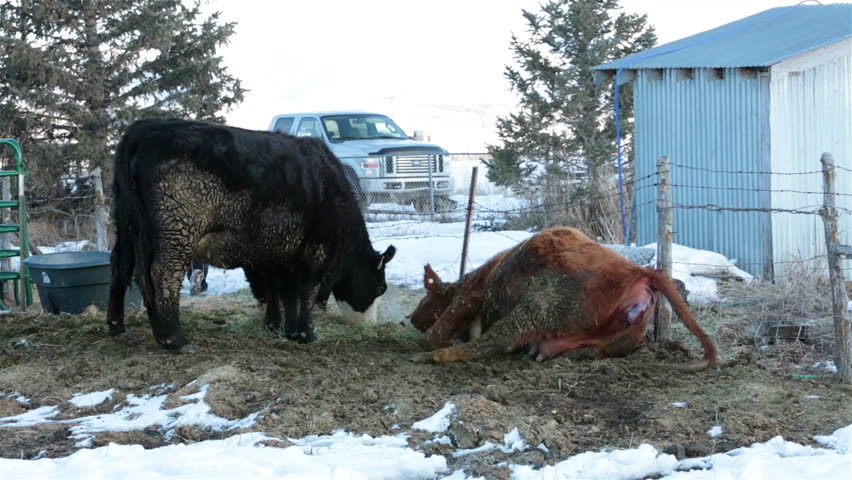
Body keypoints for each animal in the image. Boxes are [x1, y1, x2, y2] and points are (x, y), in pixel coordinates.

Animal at [107, 118, 396, 350]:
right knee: (162, 274)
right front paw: (306, 333)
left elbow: (280, 292)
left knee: (121, 266)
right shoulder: (314, 253)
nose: (369, 325)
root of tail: (145, 127)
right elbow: (304, 292)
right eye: (381, 287)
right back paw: (173, 338)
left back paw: (117, 325)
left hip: (127, 226)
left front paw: (281, 327)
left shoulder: (276, 253)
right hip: (176, 230)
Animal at [409, 227, 717, 371]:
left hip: (537, 309)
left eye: (426, 298)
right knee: (586, 353)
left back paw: (424, 357)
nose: (410, 319)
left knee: (493, 342)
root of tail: (639, 271)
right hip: (612, 342)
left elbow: (440, 330)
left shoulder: (470, 296)